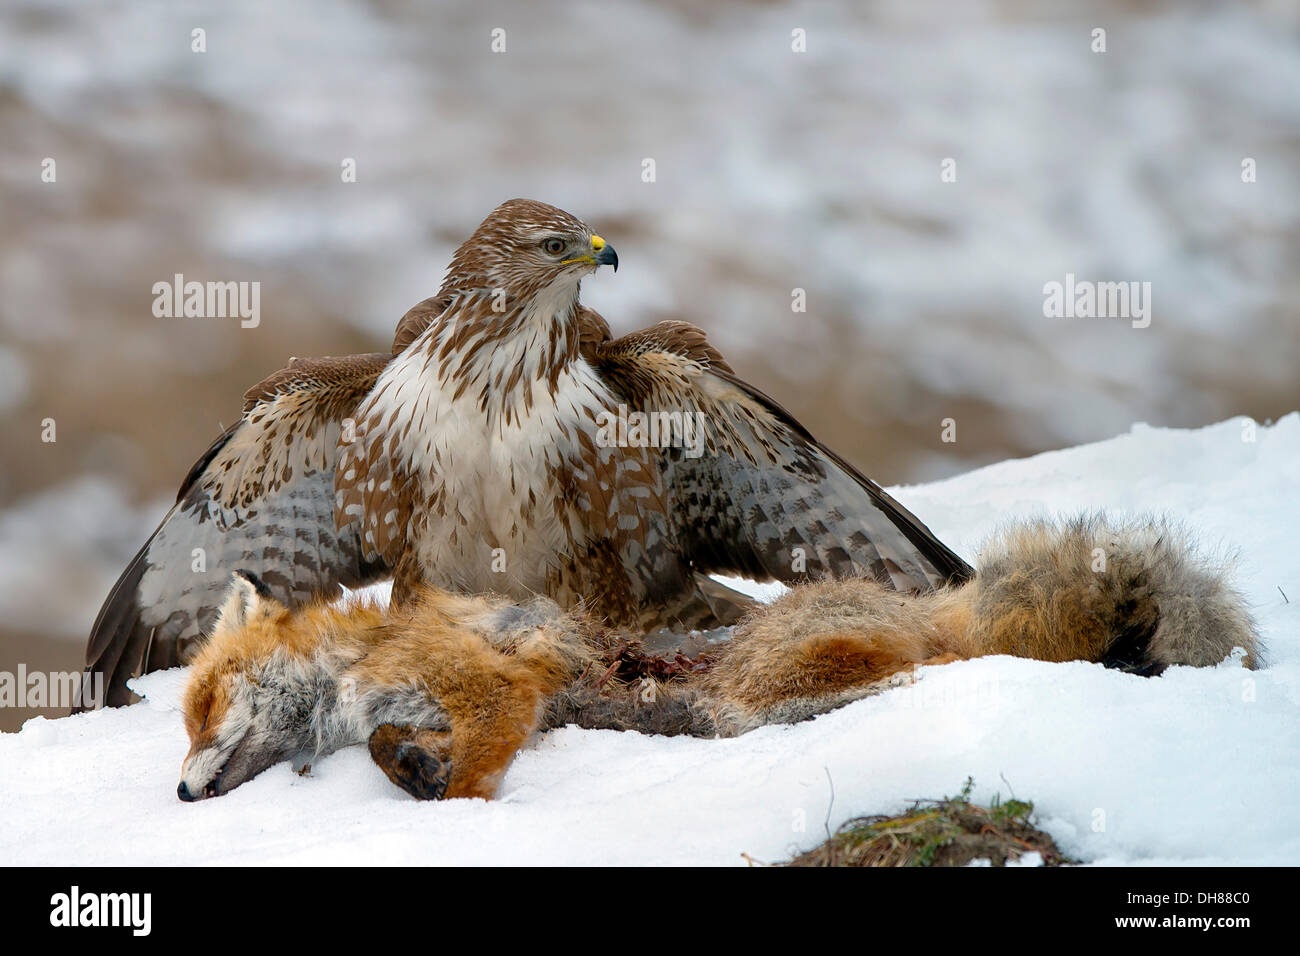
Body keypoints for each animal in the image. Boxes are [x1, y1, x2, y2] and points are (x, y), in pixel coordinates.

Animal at [179, 515, 1260, 801]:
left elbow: (460, 763)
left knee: (920, 678)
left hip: (763, 675)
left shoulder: (493, 682)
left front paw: (450, 804)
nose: (183, 793)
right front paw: (411, 764)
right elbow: (387, 743)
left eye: (203, 709)